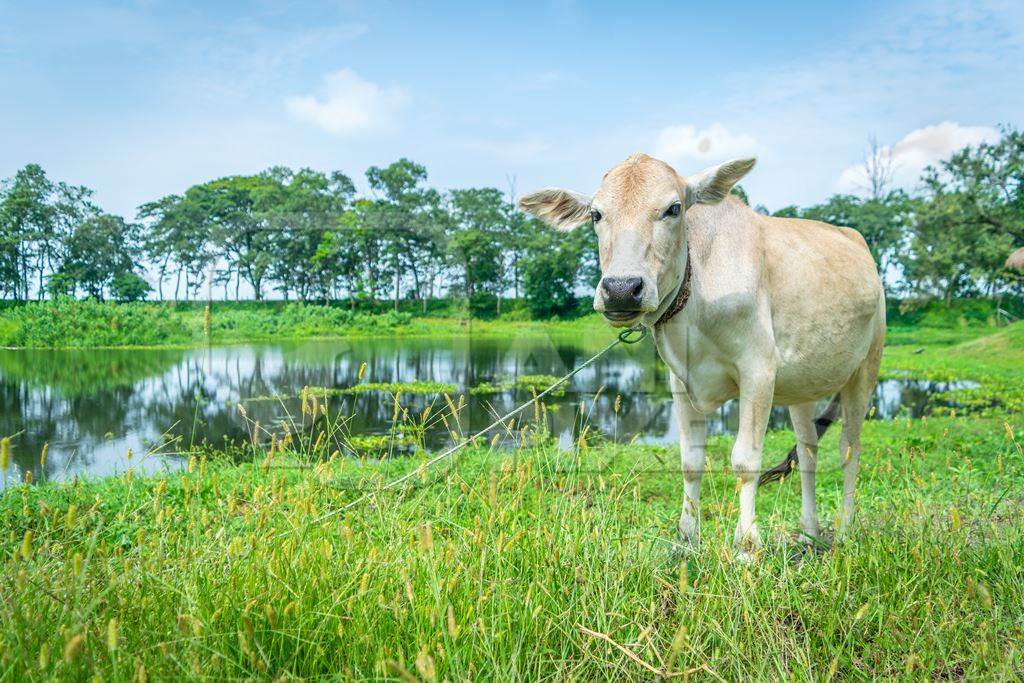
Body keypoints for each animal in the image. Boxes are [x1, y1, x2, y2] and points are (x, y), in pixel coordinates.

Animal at [519, 153, 885, 560]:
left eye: (673, 209)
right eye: (596, 214)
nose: (621, 289)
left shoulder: (759, 370)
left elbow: (745, 460)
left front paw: (747, 545)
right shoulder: (680, 381)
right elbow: (690, 461)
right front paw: (687, 539)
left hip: (867, 366)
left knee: (849, 448)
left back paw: (846, 528)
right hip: (801, 388)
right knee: (808, 449)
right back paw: (809, 532)